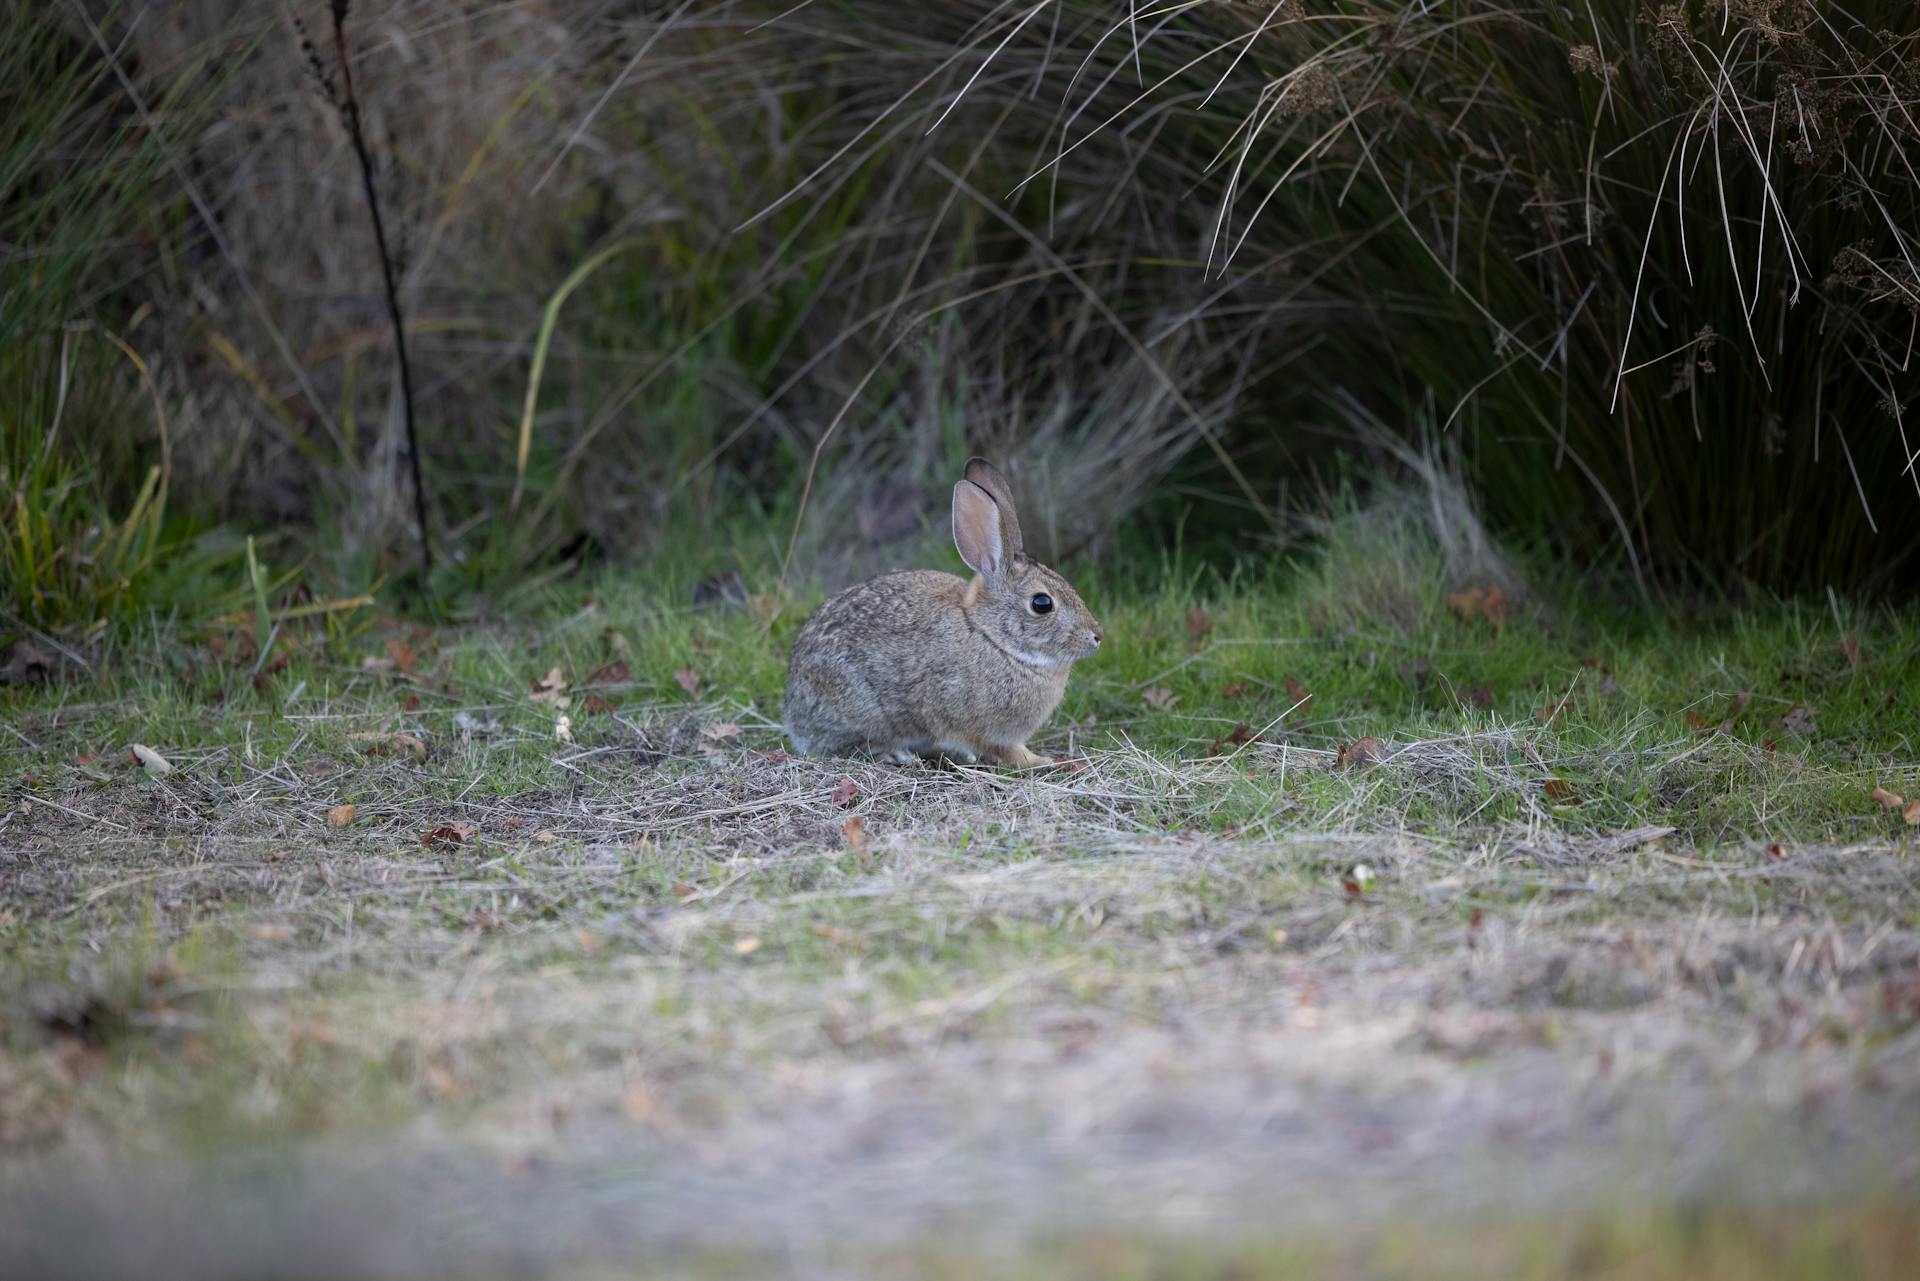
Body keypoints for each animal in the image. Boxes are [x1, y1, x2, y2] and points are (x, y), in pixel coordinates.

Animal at [783, 457, 1102, 766]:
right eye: (1042, 603)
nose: (1097, 636)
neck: (993, 637)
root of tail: (793, 708)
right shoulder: (973, 721)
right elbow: (1005, 750)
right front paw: (1041, 760)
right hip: (859, 709)